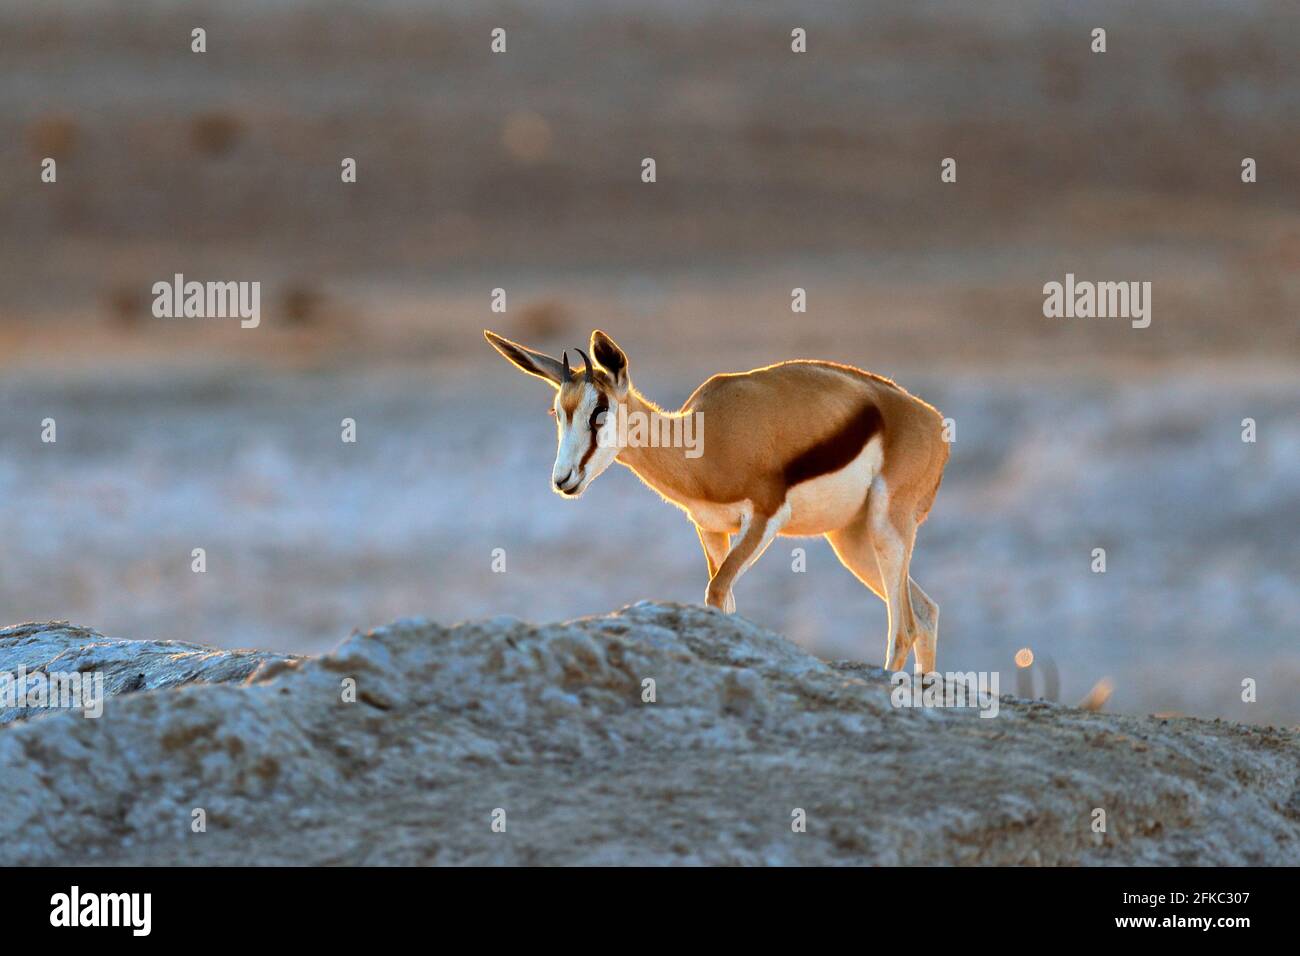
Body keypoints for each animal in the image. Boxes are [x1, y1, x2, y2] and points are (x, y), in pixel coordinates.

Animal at [484, 329, 950, 672]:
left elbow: (715, 592)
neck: (704, 445)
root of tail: (932, 420)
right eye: (558, 413)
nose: (564, 480)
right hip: (850, 541)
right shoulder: (710, 530)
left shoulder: (763, 519)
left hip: (886, 529)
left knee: (905, 626)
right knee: (926, 613)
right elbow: (723, 605)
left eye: (599, 411)